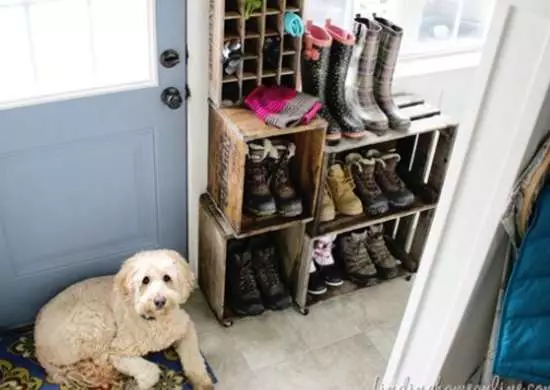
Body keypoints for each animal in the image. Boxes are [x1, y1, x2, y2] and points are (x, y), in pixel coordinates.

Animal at [33, 250, 213, 390]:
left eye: (167, 278)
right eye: (145, 280)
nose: (160, 301)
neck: (155, 321)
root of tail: (37, 345)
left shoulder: (185, 328)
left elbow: (194, 357)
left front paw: (202, 381)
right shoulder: (118, 352)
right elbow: (150, 371)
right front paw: (135, 385)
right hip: (97, 320)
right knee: (100, 360)